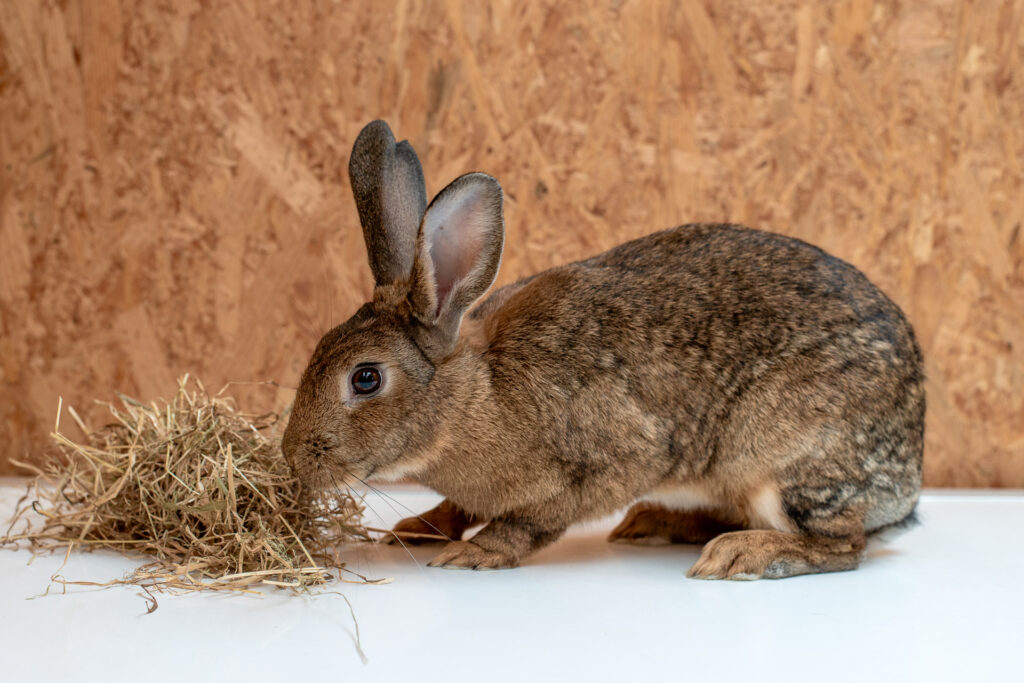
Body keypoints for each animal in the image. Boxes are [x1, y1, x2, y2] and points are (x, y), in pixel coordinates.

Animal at [281, 119, 925, 580]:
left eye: (365, 378)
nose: (293, 459)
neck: (472, 396)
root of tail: (906, 492)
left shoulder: (598, 466)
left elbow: (530, 523)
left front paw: (477, 552)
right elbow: (458, 509)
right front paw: (416, 528)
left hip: (788, 458)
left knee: (842, 545)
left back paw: (742, 554)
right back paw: (656, 523)